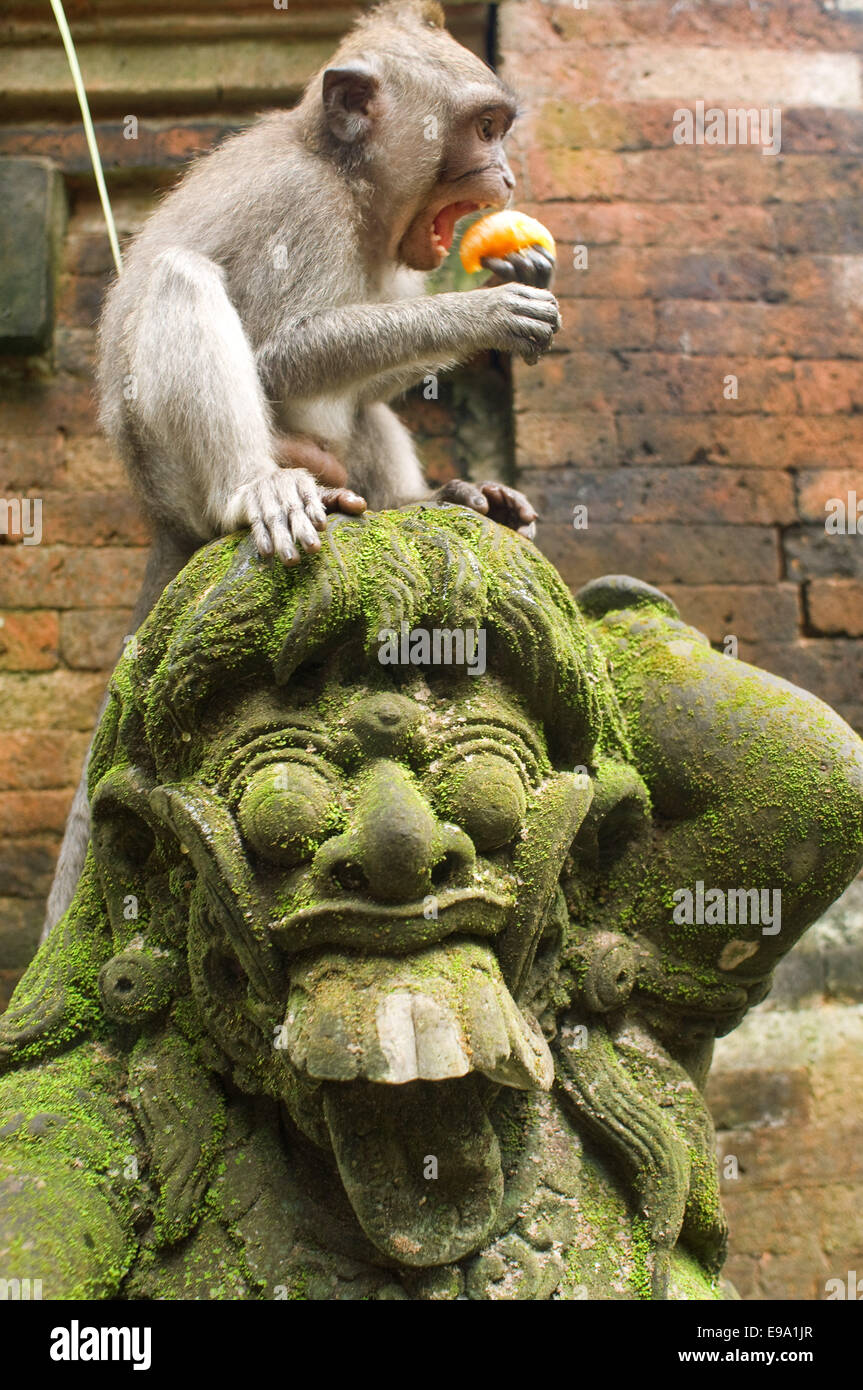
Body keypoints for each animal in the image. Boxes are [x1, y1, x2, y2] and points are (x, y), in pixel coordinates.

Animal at [41, 0, 562, 938]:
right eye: (484, 127)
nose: (503, 175)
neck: (344, 178)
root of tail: (158, 516)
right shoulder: (301, 211)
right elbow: (281, 356)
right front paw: (486, 308)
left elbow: (377, 379)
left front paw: (519, 268)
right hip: (167, 466)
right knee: (182, 282)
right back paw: (258, 490)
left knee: (363, 412)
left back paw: (438, 497)